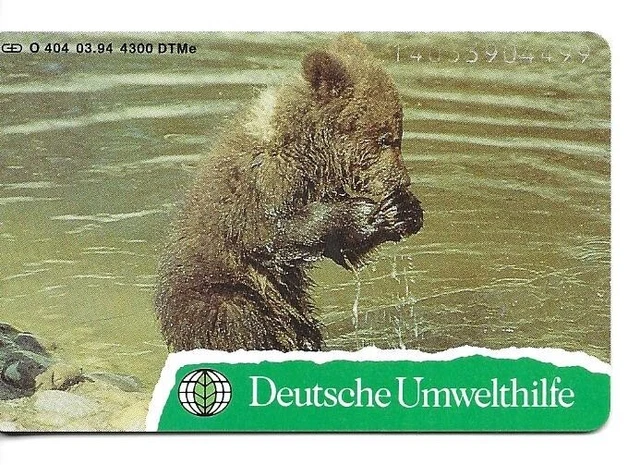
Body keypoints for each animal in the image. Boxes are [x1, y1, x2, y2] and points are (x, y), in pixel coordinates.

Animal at [155, 35, 423, 352]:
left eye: (398, 135)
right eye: (385, 138)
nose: (403, 180)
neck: (310, 152)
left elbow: (342, 247)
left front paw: (405, 211)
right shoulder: (267, 181)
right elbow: (274, 233)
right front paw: (364, 213)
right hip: (219, 295)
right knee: (236, 320)